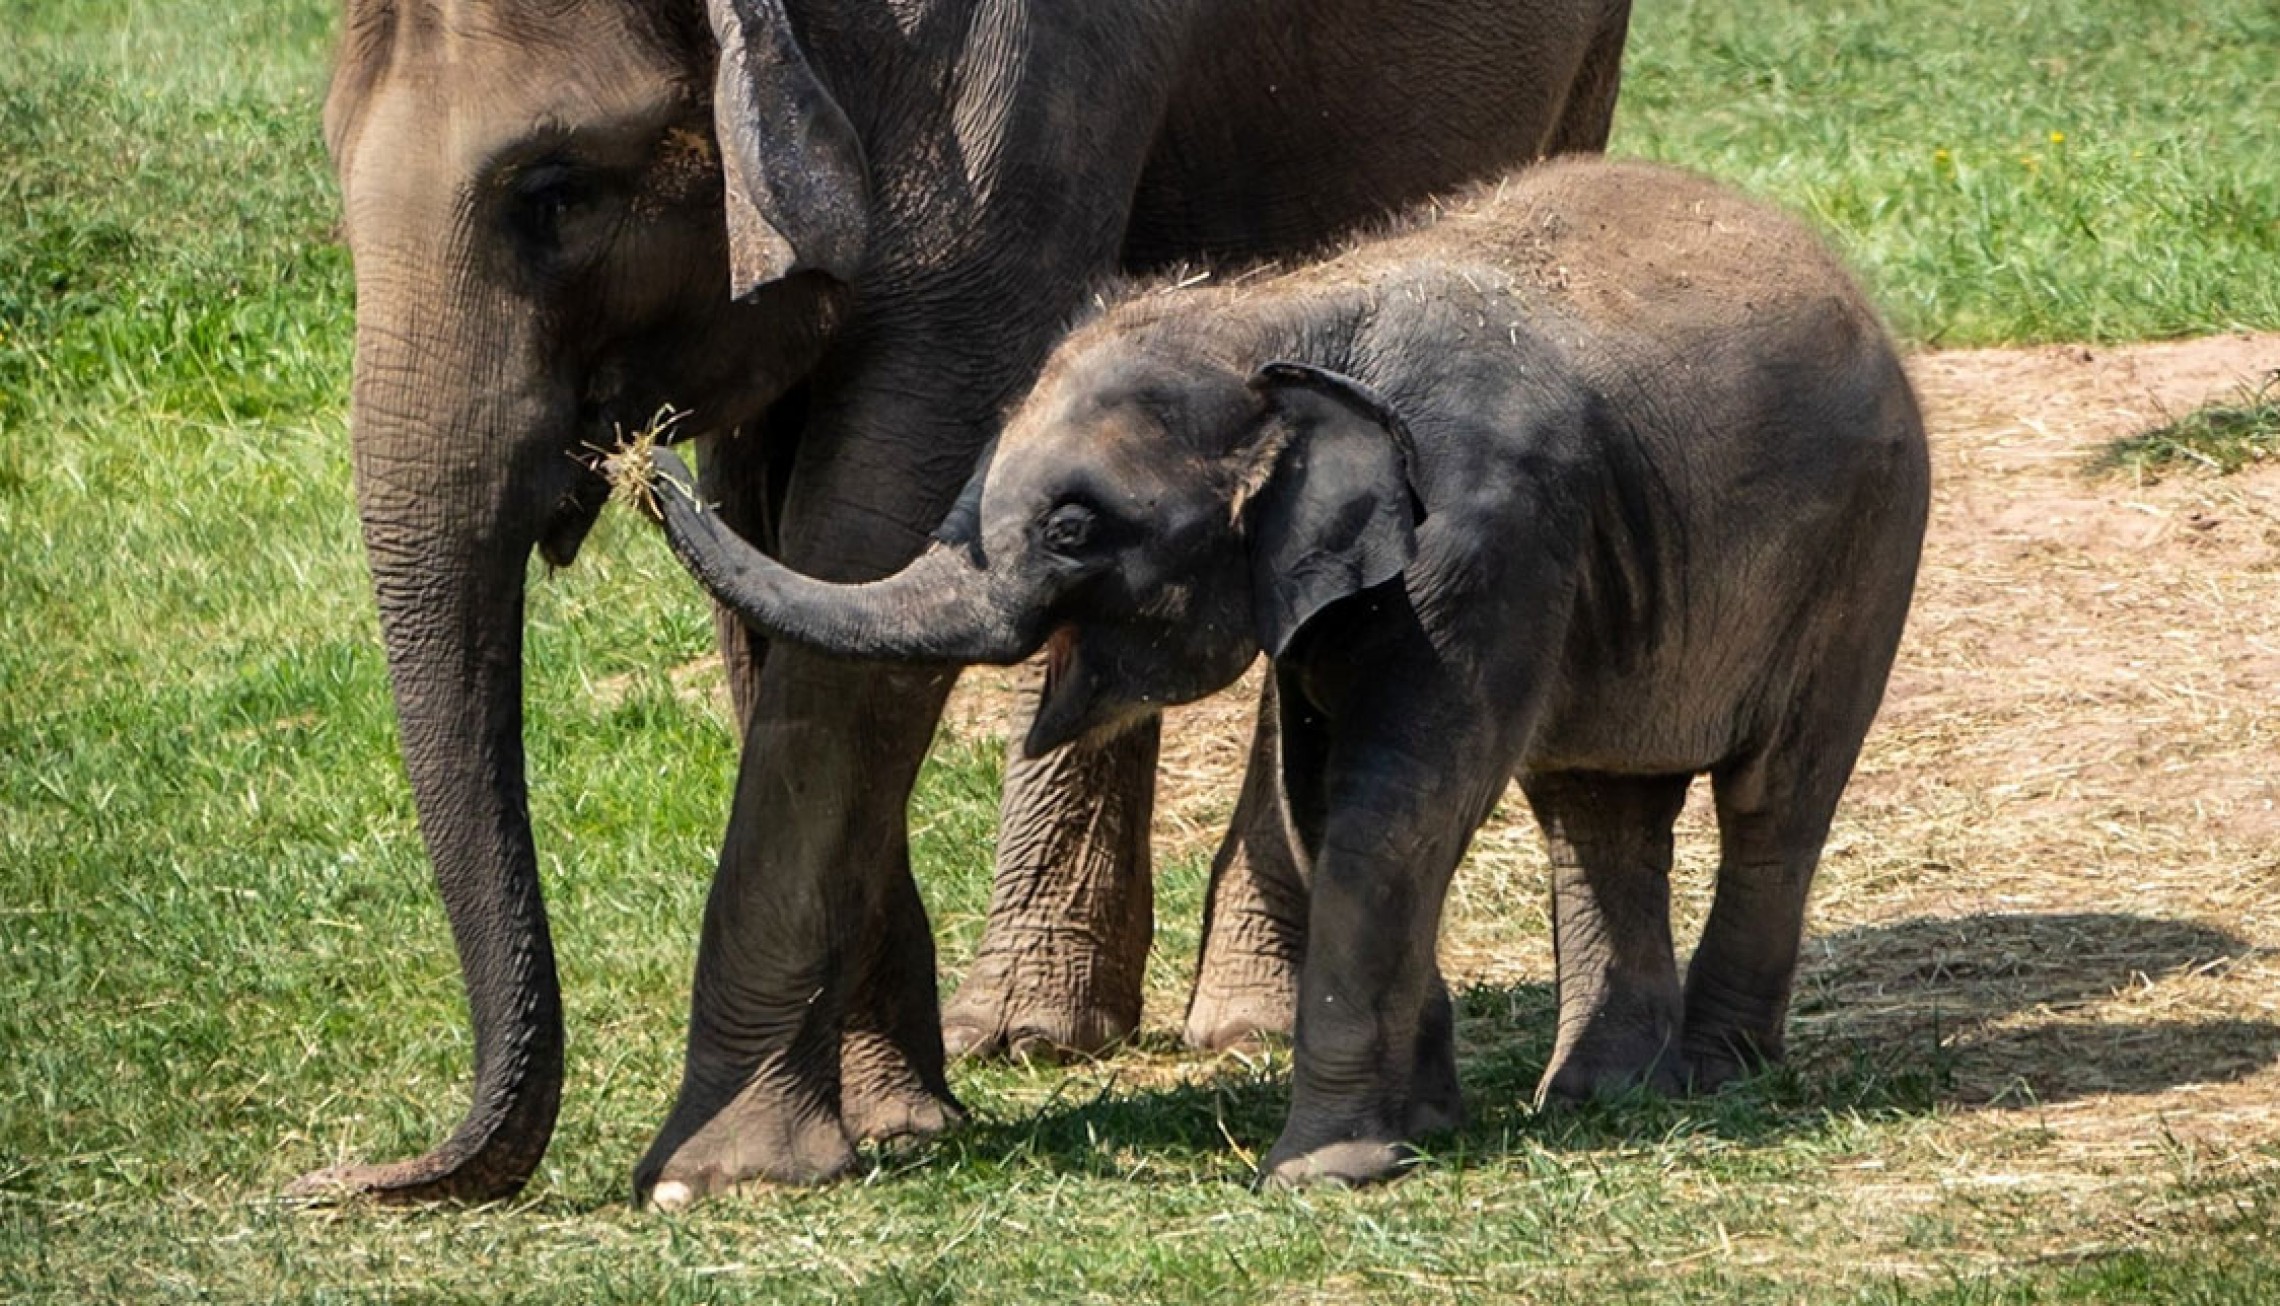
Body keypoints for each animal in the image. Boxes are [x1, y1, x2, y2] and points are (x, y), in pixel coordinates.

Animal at [298, 0, 1637, 1206]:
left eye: (555, 195)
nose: (354, 1178)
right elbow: (782, 547)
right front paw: (895, 1120)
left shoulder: (1007, 87)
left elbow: (883, 498)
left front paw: (721, 1173)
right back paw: (1033, 1028)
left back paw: (1239, 1019)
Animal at [633, 158, 1933, 1186]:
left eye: (1072, 529)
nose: (641, 455)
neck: (1280, 320)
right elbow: (1327, 808)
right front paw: (1423, 1128)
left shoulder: (1488, 535)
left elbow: (1392, 805)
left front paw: (1321, 1174)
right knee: (1596, 808)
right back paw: (1605, 1095)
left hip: (1867, 547)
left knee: (1773, 797)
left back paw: (1716, 1076)